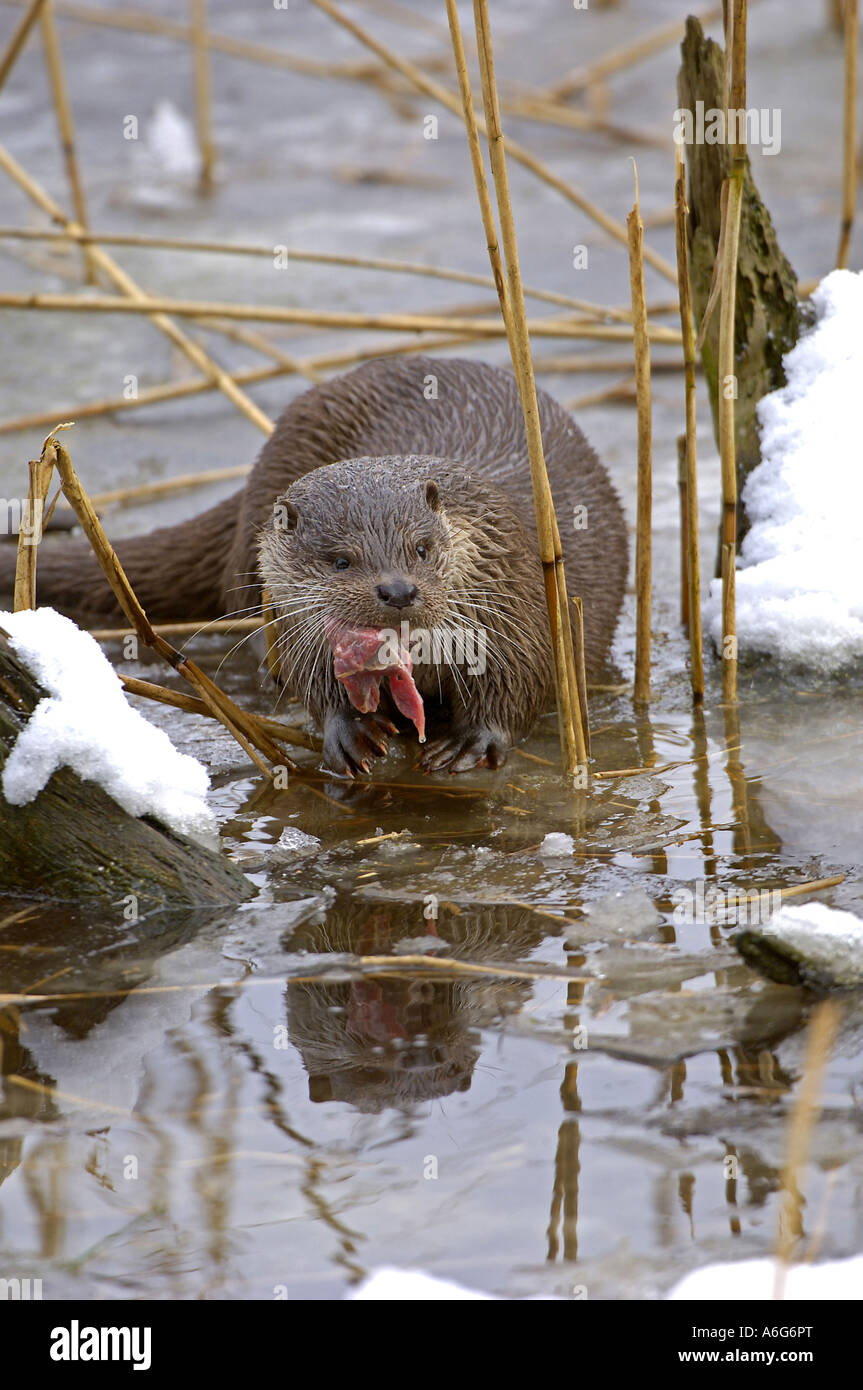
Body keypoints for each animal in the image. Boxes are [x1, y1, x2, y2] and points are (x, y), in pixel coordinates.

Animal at [1, 357, 628, 774]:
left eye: (422, 548)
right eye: (340, 560)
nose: (398, 591)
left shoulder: (518, 601)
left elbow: (526, 676)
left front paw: (473, 742)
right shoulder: (291, 617)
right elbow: (308, 676)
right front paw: (346, 729)